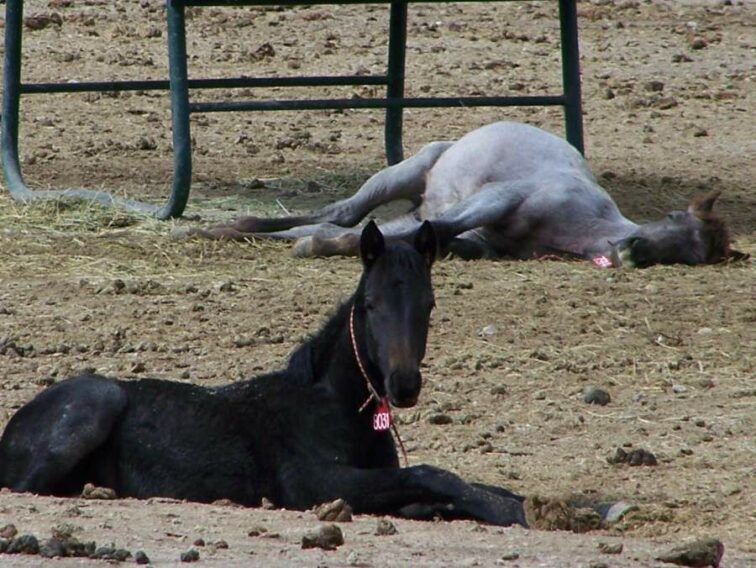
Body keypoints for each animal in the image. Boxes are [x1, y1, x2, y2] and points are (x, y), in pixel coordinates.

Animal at [0, 221, 530, 527]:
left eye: (430, 305)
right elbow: (431, 474)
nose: (404, 385)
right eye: (370, 304)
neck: (334, 403)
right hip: (96, 402)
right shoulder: (315, 482)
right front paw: (510, 510)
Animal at [173, 121, 745, 268]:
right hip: (402, 174)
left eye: (690, 255)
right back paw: (224, 227)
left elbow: (440, 240)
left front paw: (321, 248)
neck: (578, 225)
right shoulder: (499, 199)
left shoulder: (482, 241)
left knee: (335, 224)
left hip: (413, 206)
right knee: (342, 212)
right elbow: (446, 228)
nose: (634, 250)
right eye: (672, 216)